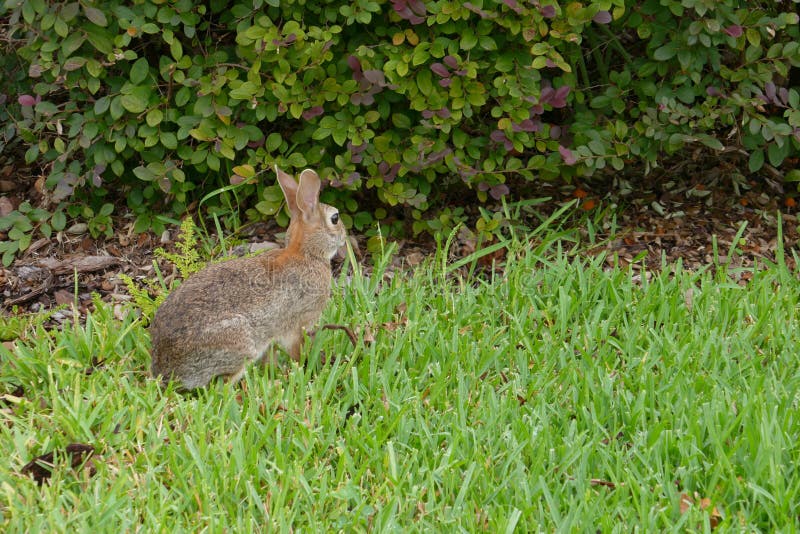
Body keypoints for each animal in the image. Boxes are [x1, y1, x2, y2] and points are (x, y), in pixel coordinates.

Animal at [149, 166, 347, 389]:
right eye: (335, 218)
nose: (345, 236)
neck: (306, 253)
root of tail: (167, 370)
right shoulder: (298, 325)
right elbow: (296, 350)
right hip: (240, 344)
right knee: (224, 386)